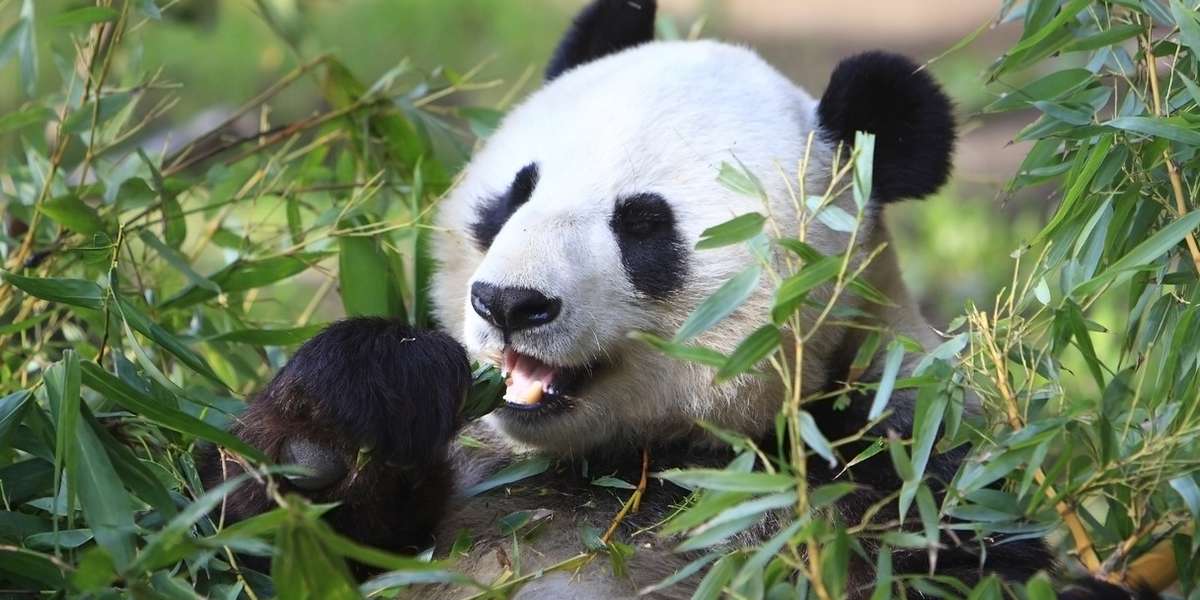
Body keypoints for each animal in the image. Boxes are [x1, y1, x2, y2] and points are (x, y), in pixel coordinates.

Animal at [202, 1, 1152, 598]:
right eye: (514, 195)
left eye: (644, 224)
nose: (509, 303)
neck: (631, 461)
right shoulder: (467, 476)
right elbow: (250, 542)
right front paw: (356, 409)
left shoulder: (900, 472)